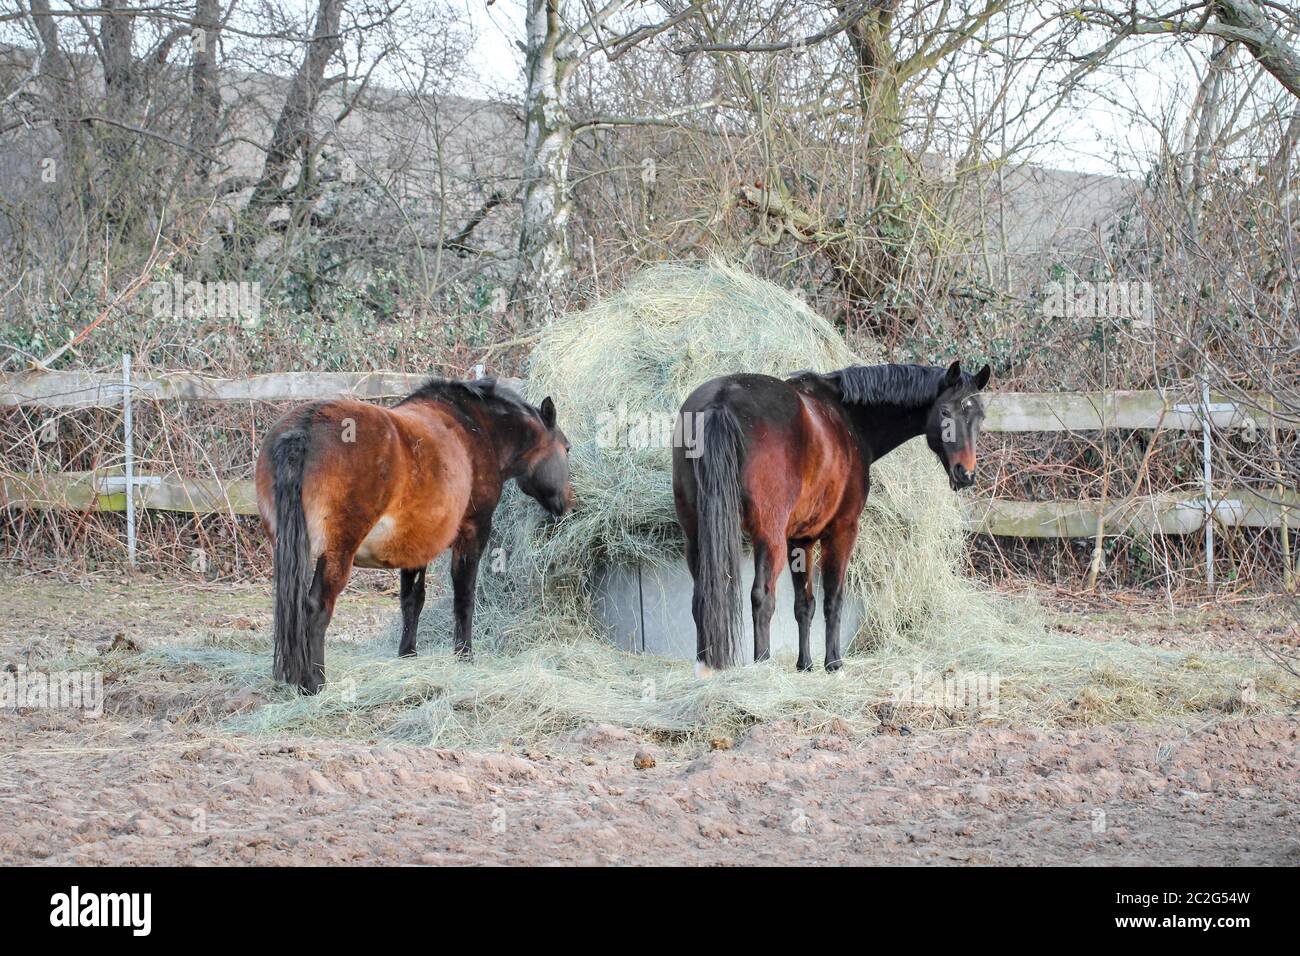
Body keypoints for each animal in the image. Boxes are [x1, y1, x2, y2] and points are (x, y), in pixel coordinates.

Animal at [254, 377, 573, 694]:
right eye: (567, 449)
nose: (568, 504)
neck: (476, 428)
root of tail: (304, 428)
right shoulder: (473, 531)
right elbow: (464, 597)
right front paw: (464, 655)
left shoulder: (415, 544)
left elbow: (412, 600)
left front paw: (408, 655)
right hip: (336, 553)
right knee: (316, 607)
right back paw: (315, 682)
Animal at [672, 360, 991, 674]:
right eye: (945, 412)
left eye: (981, 417)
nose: (966, 473)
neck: (847, 419)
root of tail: (722, 400)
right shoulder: (842, 531)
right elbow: (833, 599)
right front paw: (833, 663)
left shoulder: (801, 540)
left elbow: (805, 604)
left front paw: (805, 665)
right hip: (769, 537)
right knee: (762, 597)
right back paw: (762, 667)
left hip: (696, 535)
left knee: (702, 597)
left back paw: (705, 667)